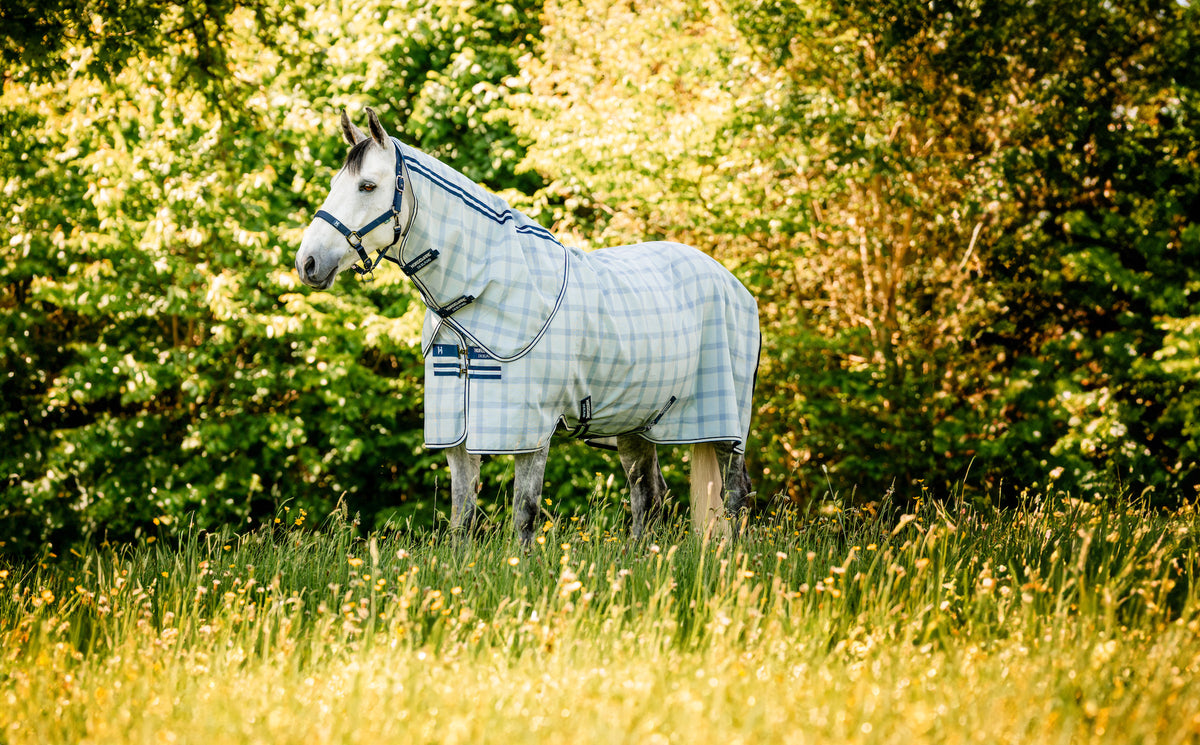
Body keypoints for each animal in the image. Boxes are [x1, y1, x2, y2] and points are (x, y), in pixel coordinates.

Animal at [295, 108, 760, 545]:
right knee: (649, 495)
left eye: (367, 186)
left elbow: (524, 513)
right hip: (637, 424)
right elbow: (462, 517)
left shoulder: (529, 431)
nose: (308, 263)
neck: (478, 295)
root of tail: (733, 284)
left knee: (734, 497)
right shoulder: (458, 435)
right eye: (336, 184)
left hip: (727, 427)